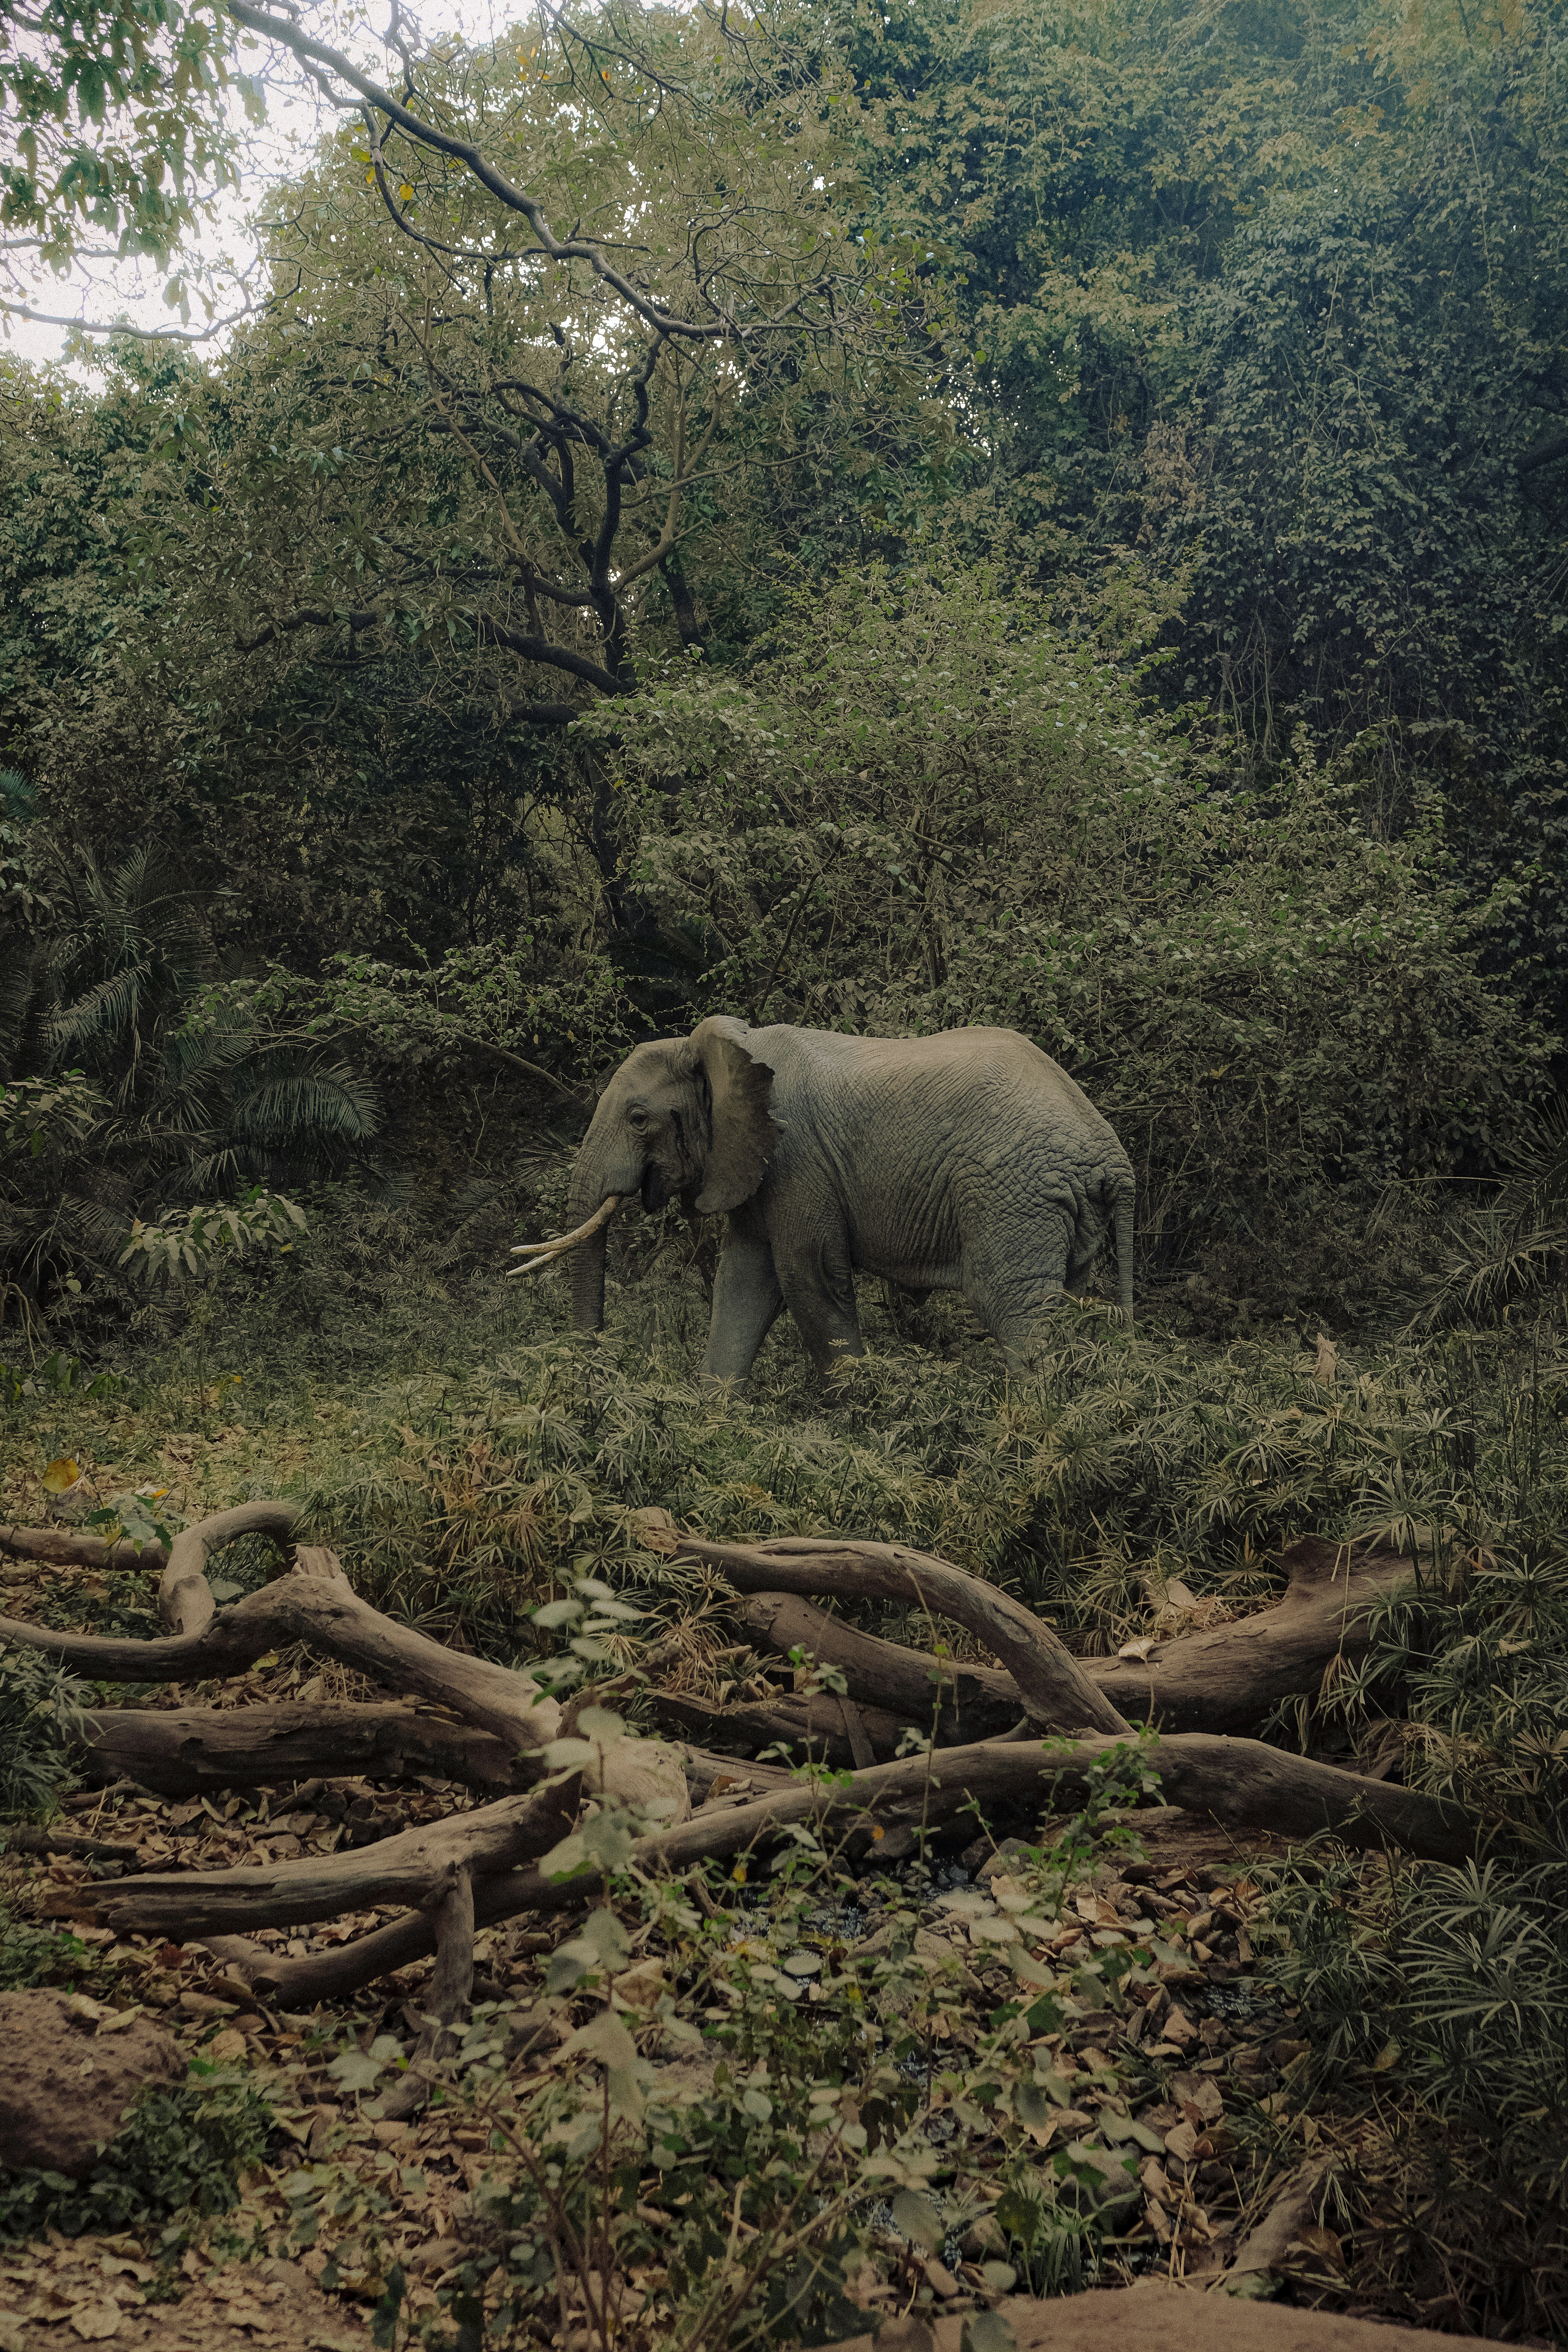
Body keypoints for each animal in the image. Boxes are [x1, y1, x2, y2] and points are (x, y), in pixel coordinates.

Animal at [563, 1016, 1135, 1387]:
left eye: (638, 1119)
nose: (593, 1372)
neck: (722, 1051)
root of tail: (1112, 1153)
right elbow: (743, 1282)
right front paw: (715, 1418)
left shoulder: (797, 1159)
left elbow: (808, 1280)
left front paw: (859, 1414)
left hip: (1012, 1199)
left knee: (1016, 1316)